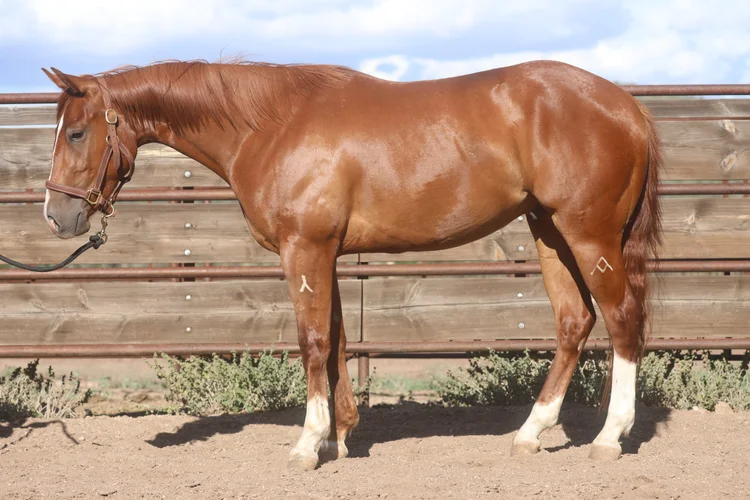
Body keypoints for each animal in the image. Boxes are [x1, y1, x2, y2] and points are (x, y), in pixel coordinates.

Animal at [41, 58, 662, 470]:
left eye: (77, 132)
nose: (56, 217)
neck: (272, 125)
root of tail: (626, 106)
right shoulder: (327, 254)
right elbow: (337, 339)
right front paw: (340, 437)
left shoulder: (306, 250)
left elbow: (313, 341)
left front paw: (307, 445)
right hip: (549, 231)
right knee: (574, 322)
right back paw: (531, 432)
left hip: (588, 234)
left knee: (623, 321)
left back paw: (610, 437)